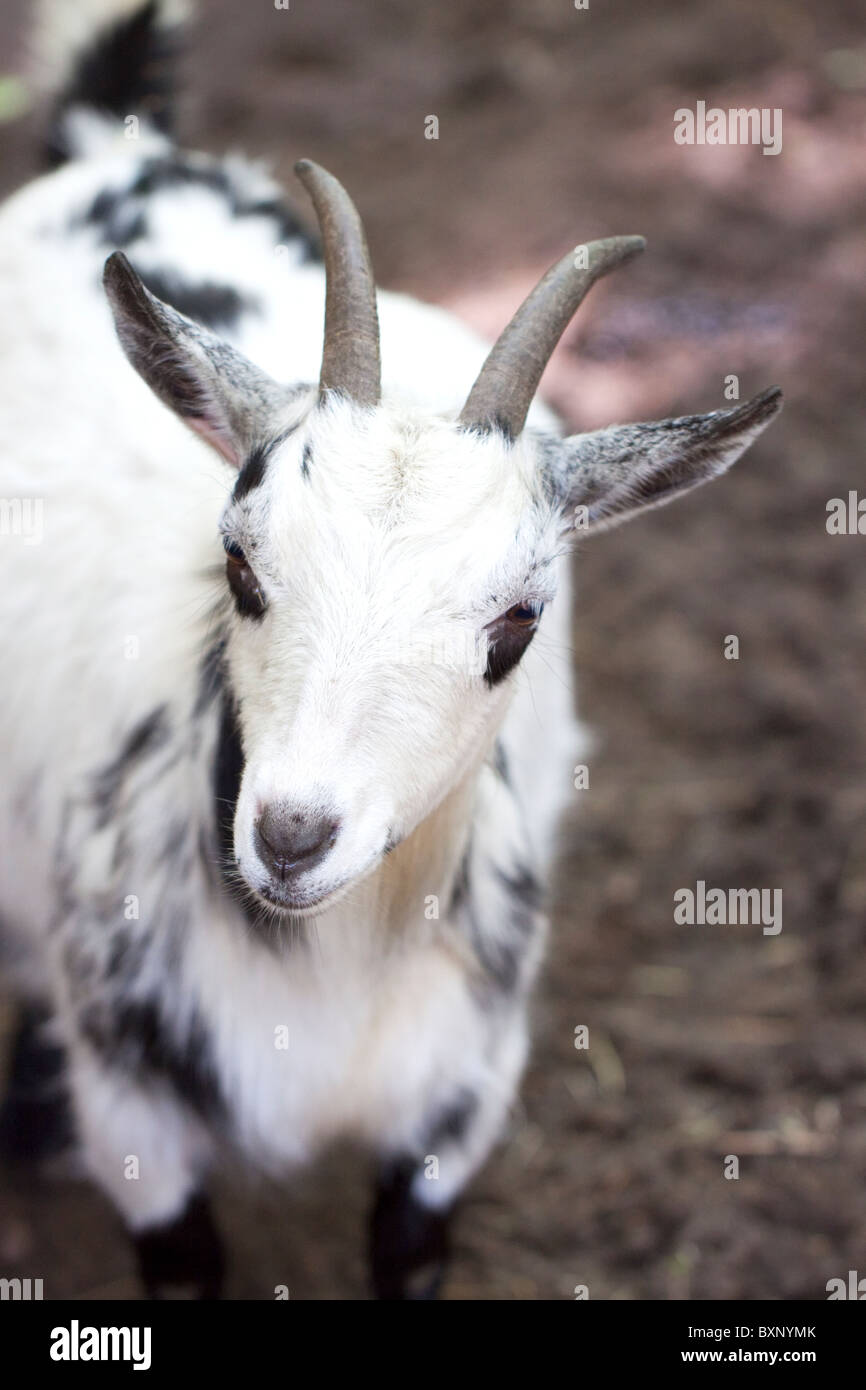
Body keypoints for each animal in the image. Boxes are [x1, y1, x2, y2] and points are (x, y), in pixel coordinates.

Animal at [0, 0, 781, 1299]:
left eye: (518, 620)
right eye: (240, 561)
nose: (290, 835)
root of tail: (122, 155)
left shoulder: (454, 1105)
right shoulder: (133, 1118)